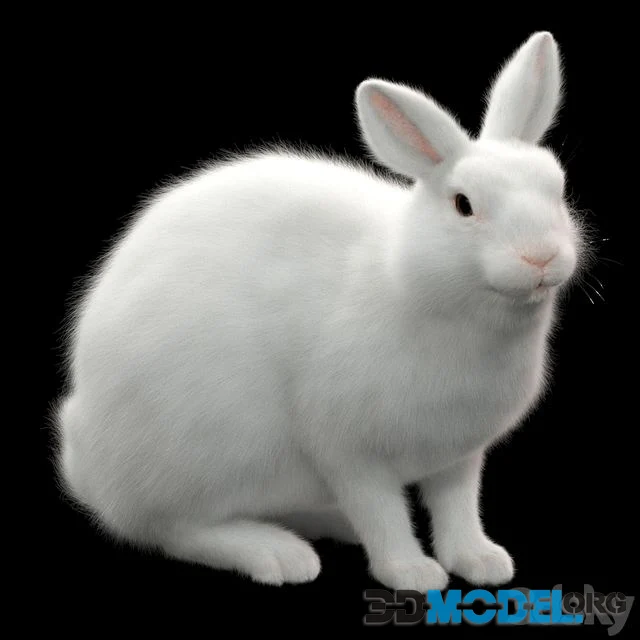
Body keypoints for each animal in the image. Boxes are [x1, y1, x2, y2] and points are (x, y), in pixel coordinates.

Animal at [55, 31, 585, 591]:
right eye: (464, 204)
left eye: (557, 188)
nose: (541, 258)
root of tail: (91, 473)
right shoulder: (348, 451)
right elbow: (381, 513)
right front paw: (412, 573)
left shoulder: (458, 457)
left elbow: (458, 510)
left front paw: (483, 562)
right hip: (207, 458)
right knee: (176, 528)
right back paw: (278, 553)